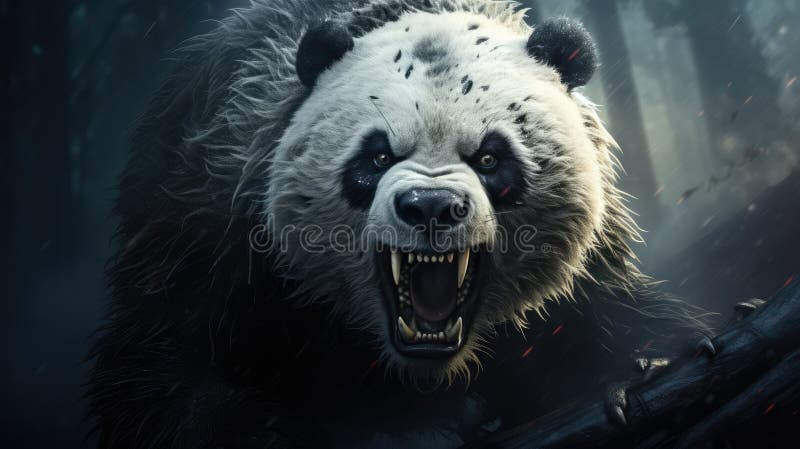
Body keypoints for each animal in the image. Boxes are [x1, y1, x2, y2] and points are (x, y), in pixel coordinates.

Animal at [87, 1, 710, 448]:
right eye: (377, 156)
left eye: (491, 157)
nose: (431, 208)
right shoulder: (210, 210)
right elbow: (168, 359)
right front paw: (256, 432)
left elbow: (593, 311)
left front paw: (638, 365)